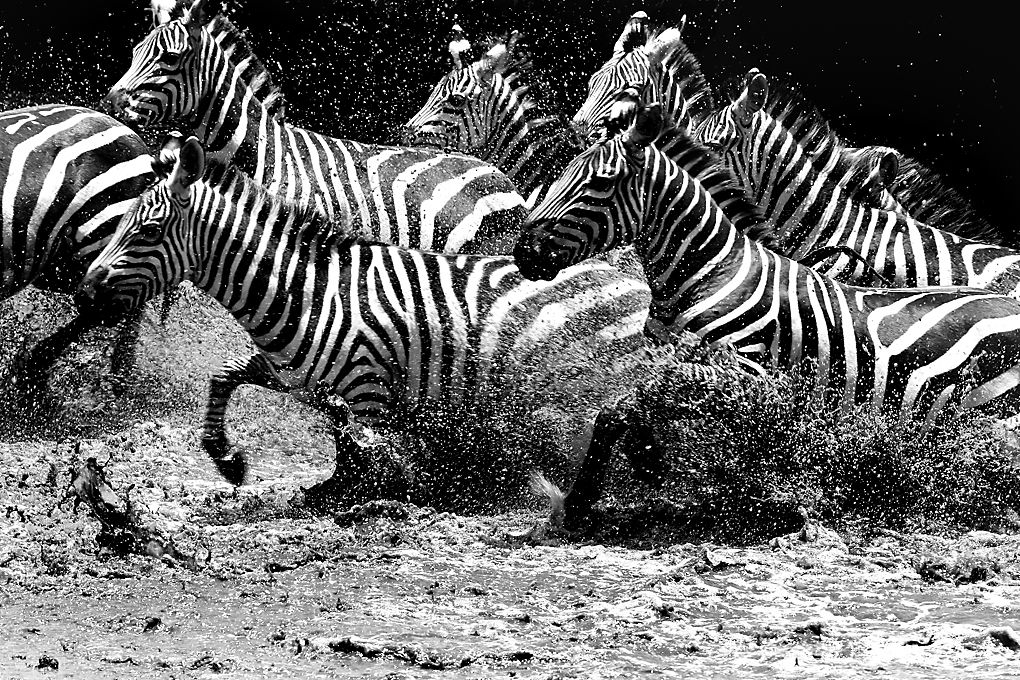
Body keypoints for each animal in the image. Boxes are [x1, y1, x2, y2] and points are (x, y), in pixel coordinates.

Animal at [77, 134, 662, 494]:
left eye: (148, 230)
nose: (84, 292)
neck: (305, 290)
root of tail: (631, 278)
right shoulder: (290, 373)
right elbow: (225, 376)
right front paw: (228, 459)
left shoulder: (370, 389)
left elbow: (359, 440)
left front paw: (366, 489)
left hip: (569, 388)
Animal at [514, 102, 1020, 523]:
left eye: (600, 182)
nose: (524, 252)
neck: (710, 271)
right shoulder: (672, 355)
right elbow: (627, 403)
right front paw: (629, 469)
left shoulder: (757, 374)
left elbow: (650, 395)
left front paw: (621, 477)